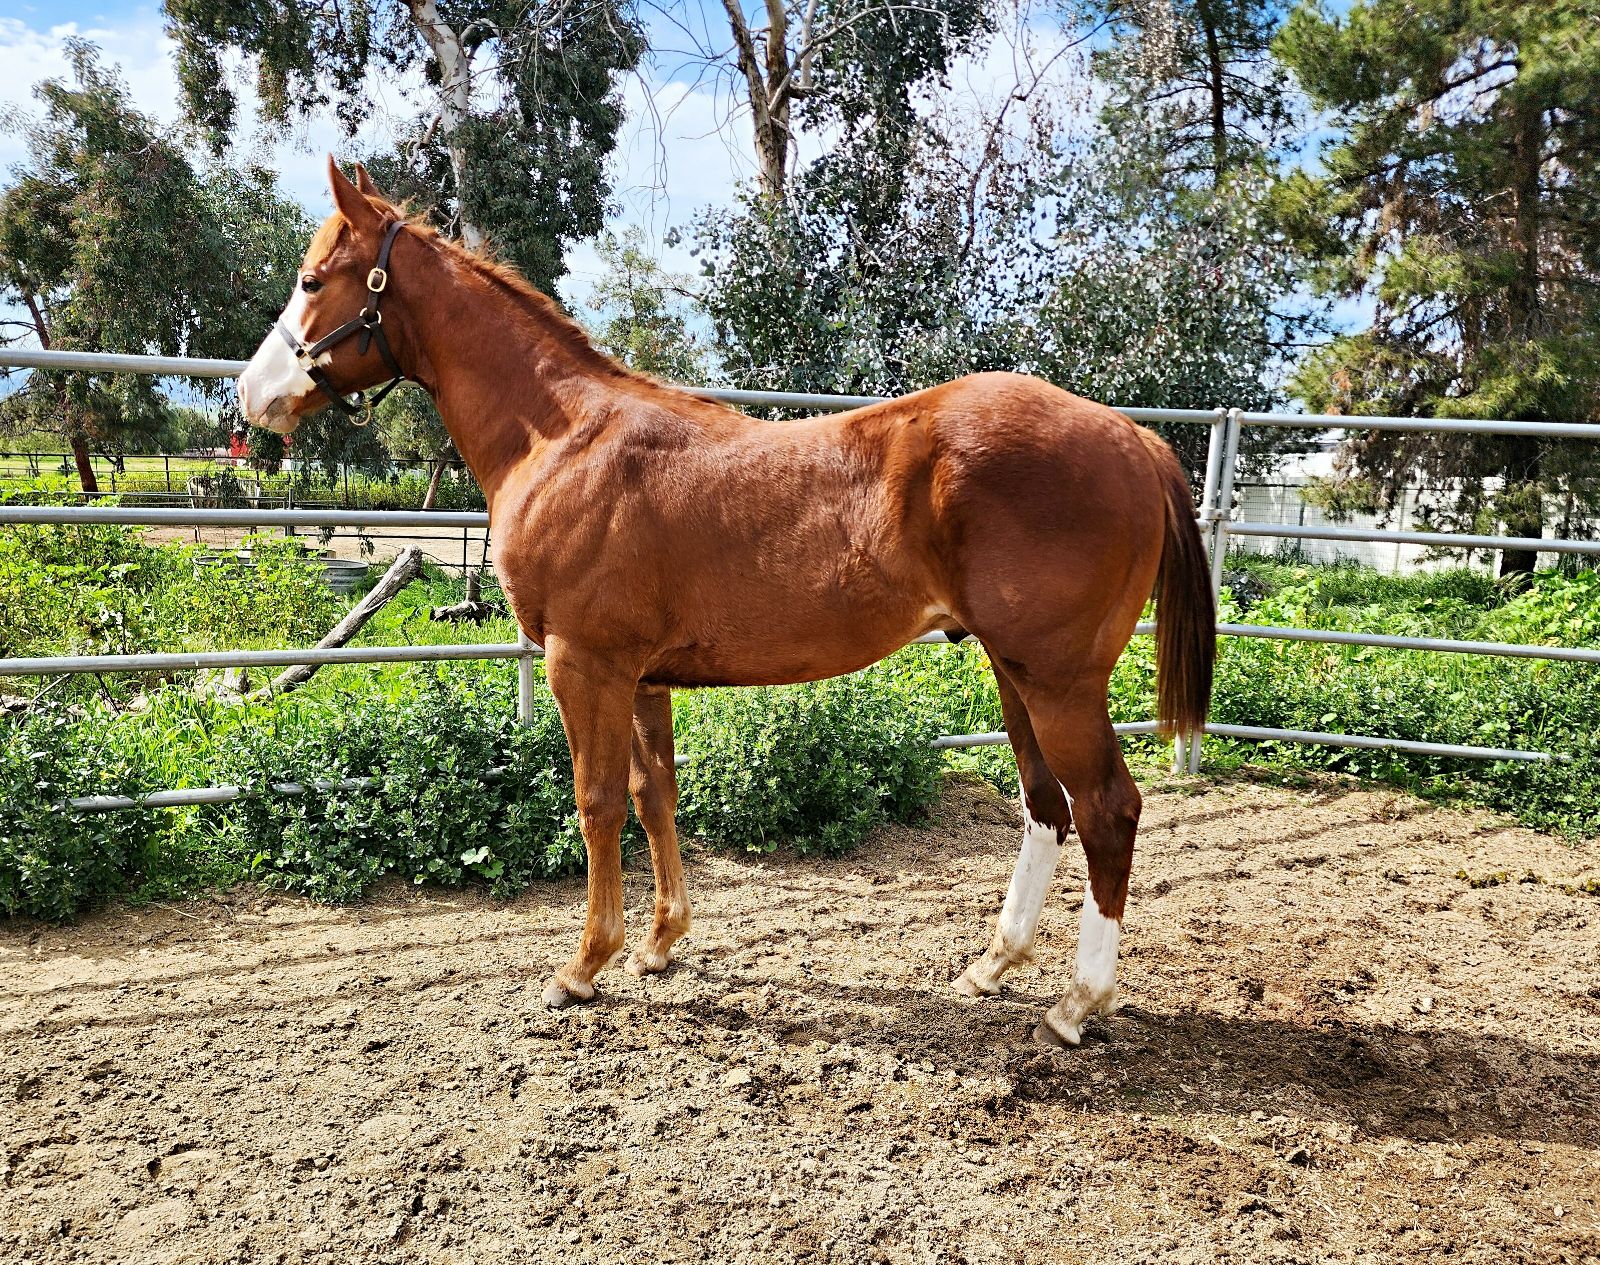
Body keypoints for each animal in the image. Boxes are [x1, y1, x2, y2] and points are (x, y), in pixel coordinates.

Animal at [237, 159, 1215, 1046]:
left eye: (312, 279)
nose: (250, 397)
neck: (563, 438)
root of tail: (1134, 439)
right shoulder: (642, 677)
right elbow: (653, 795)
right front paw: (659, 944)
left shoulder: (583, 665)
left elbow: (596, 801)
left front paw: (583, 965)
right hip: (1013, 671)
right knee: (1047, 807)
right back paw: (991, 965)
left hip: (1058, 682)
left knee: (1108, 810)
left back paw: (1076, 1004)